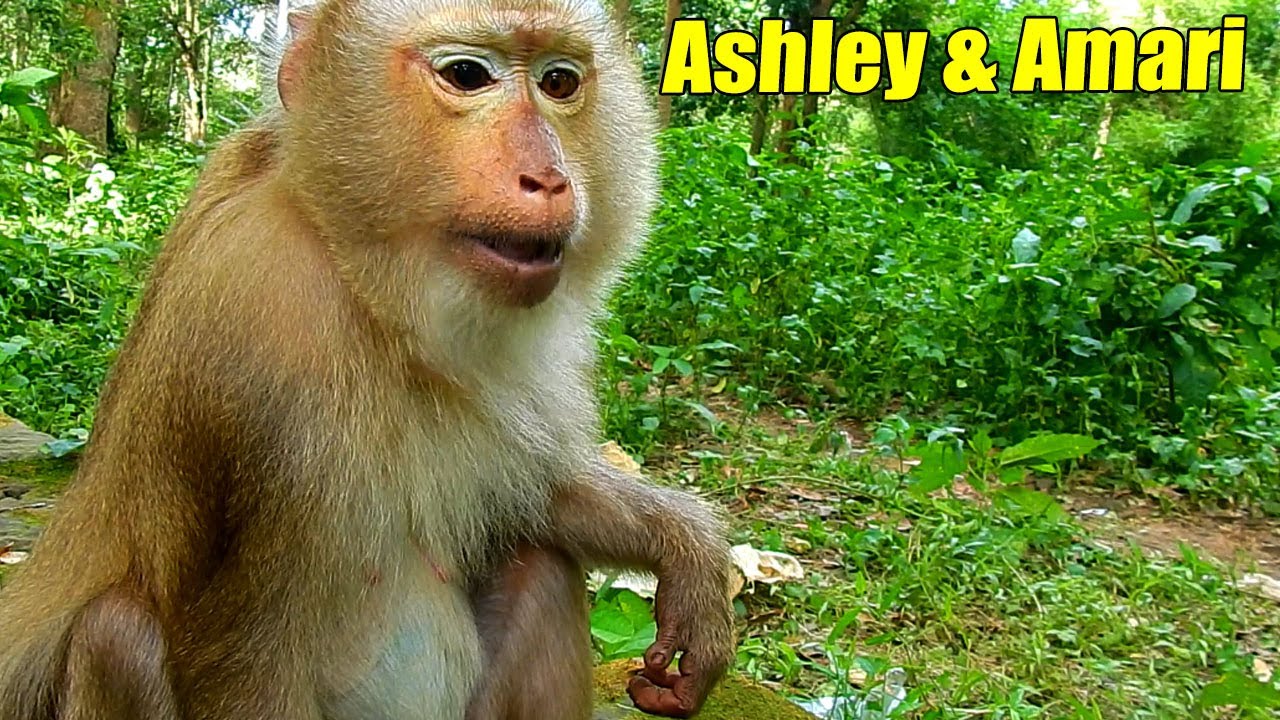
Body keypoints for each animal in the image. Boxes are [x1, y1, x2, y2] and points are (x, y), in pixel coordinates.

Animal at [0, 0, 736, 718]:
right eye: (468, 75)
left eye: (559, 83)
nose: (549, 179)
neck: (363, 287)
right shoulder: (253, 320)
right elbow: (242, 667)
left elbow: (531, 496)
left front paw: (687, 552)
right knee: (114, 634)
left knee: (543, 566)